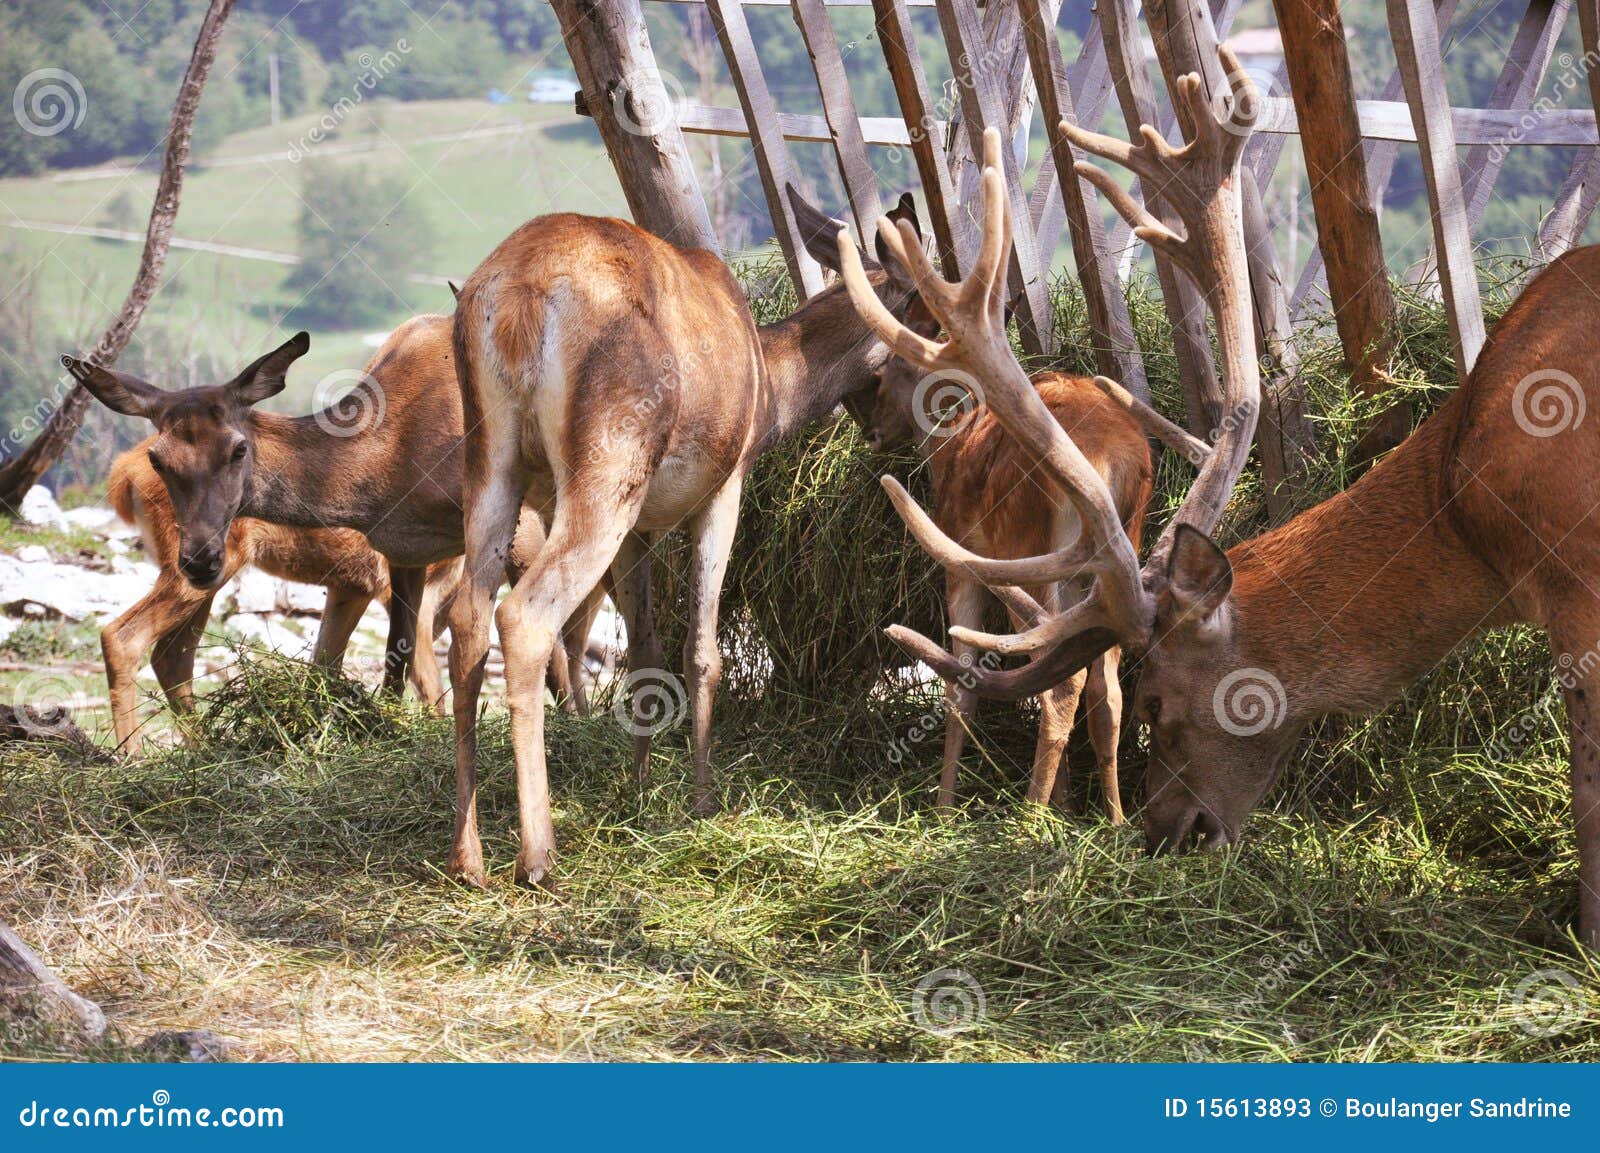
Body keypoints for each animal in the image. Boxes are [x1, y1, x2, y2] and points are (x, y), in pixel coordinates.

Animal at [100, 441, 460, 755]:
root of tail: (125, 470)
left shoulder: (352, 584)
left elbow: (323, 667)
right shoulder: (399, 583)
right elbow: (431, 686)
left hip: (204, 575)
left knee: (171, 656)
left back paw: (202, 751)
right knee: (122, 636)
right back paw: (132, 756)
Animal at [448, 196, 927, 887]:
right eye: (932, 321)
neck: (773, 392)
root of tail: (517, 300)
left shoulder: (641, 528)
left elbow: (647, 647)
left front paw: (640, 788)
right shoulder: (726, 486)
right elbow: (701, 650)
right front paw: (703, 800)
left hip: (490, 460)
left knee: (466, 616)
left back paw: (468, 855)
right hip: (608, 462)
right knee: (525, 614)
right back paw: (537, 854)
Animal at [853, 296, 1154, 818]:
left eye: (886, 367)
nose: (870, 429)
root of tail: (1114, 460)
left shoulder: (960, 559)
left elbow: (961, 688)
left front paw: (944, 808)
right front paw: (1068, 804)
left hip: (1031, 553)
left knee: (1060, 682)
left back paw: (1031, 814)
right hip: (1116, 563)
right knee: (1105, 687)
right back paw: (1112, 818)